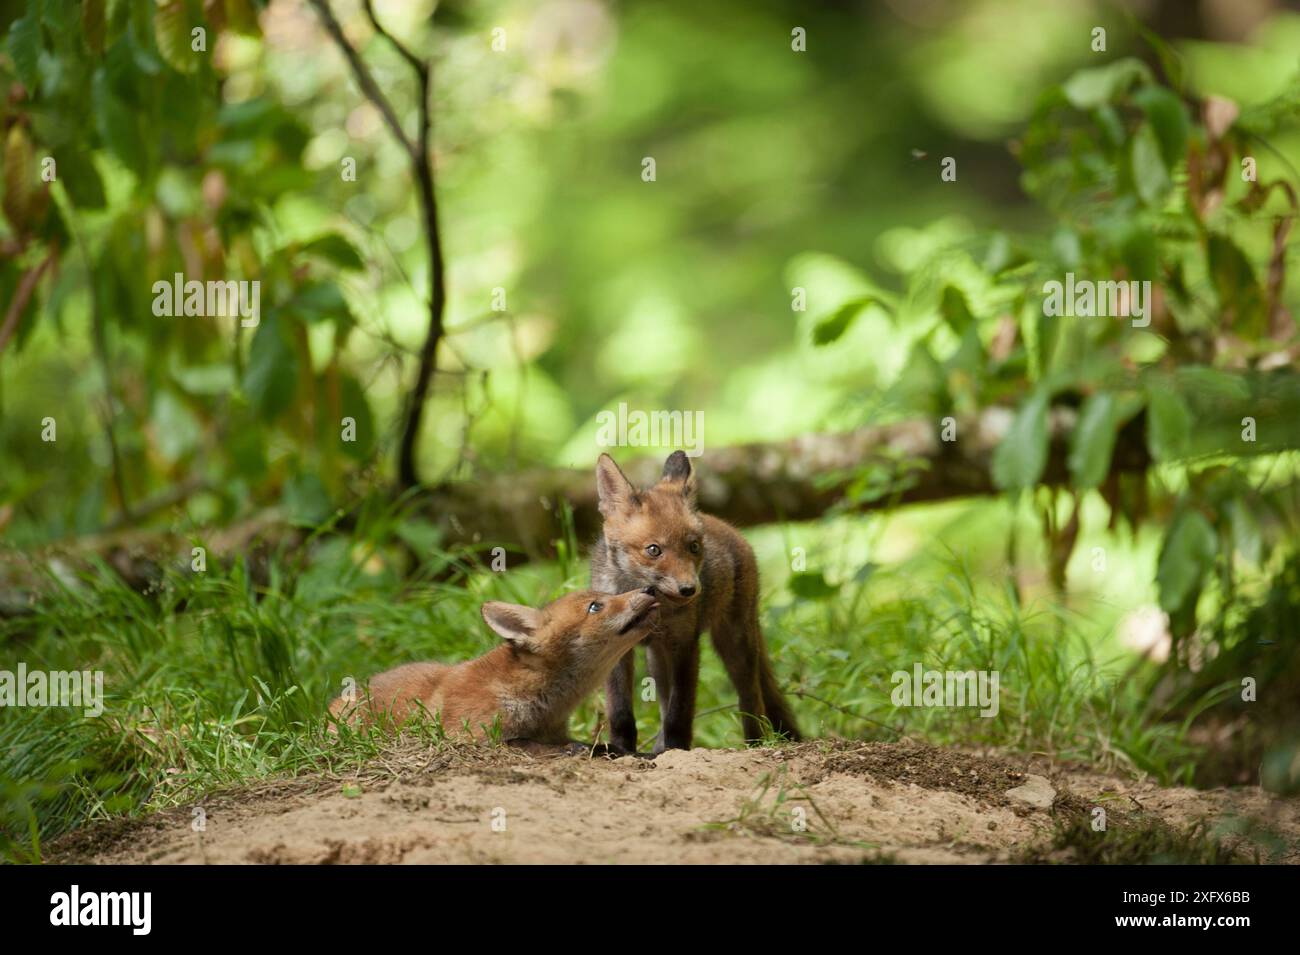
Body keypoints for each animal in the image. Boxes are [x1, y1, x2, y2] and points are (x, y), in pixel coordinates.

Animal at [591, 450, 801, 754]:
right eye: (653, 550)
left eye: (694, 547)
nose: (690, 589)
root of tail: (728, 528)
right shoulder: (618, 646)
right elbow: (620, 710)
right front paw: (621, 749)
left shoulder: (685, 644)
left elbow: (680, 711)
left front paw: (677, 749)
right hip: (658, 657)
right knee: (663, 700)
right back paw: (657, 748)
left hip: (735, 644)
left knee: (751, 696)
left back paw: (755, 743)